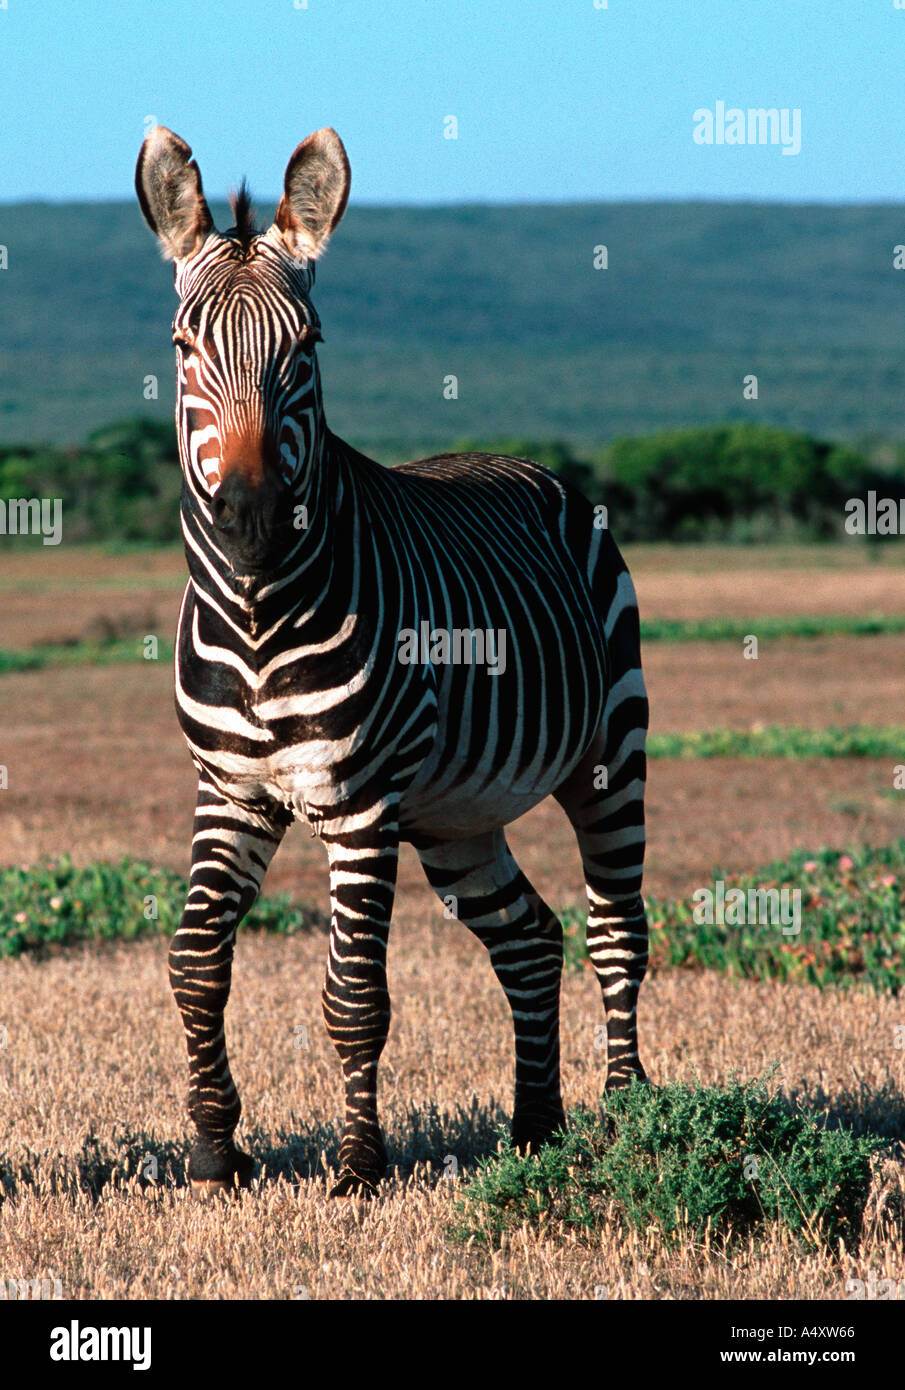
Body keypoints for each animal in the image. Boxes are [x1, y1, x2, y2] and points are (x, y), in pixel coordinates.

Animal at [136, 126, 651, 1198]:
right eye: (182, 349)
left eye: (307, 349)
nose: (249, 522)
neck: (259, 618)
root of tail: (521, 462)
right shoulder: (229, 793)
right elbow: (195, 962)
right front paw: (213, 1153)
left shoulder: (361, 802)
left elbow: (354, 995)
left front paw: (359, 1169)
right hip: (456, 815)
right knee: (530, 938)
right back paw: (535, 1127)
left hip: (609, 751)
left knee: (615, 932)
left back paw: (633, 1120)